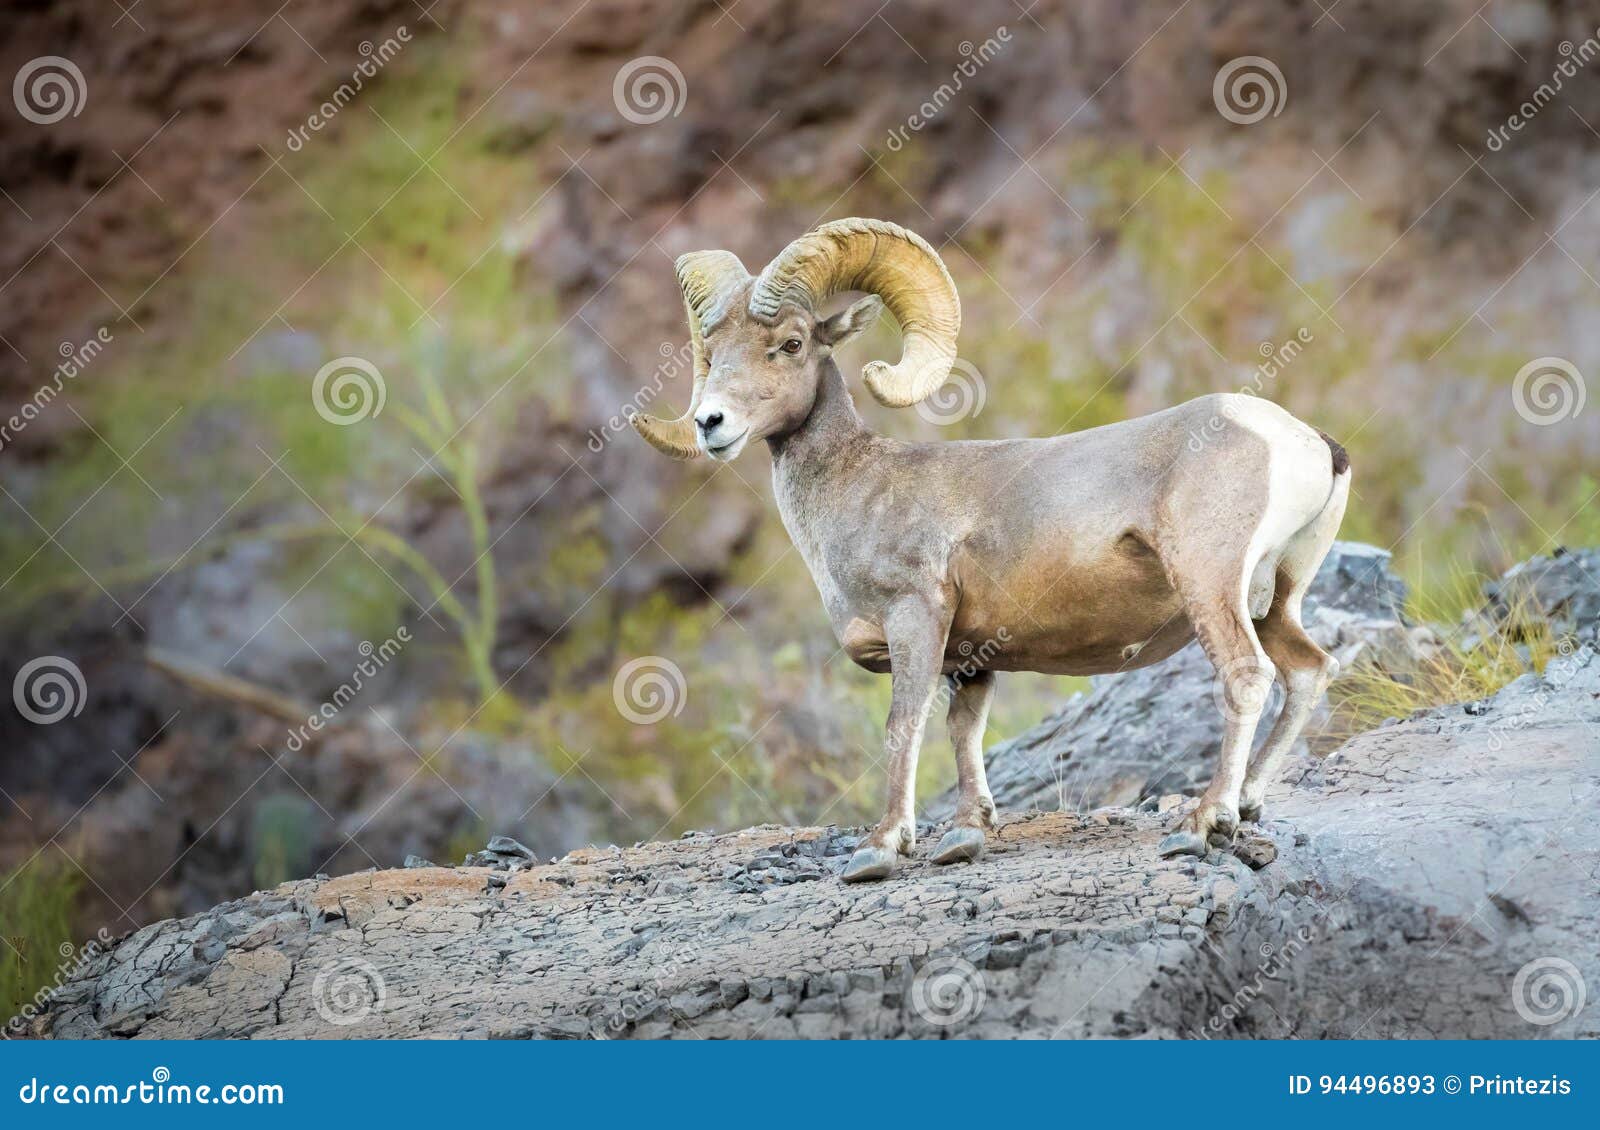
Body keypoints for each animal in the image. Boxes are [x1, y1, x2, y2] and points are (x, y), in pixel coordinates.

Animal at [631, 218, 1350, 883]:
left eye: (791, 343)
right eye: (712, 352)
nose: (711, 423)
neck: (859, 484)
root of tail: (1306, 443)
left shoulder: (916, 619)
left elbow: (904, 725)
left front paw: (880, 849)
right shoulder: (971, 659)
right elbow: (964, 730)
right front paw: (965, 836)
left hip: (1211, 585)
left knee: (1247, 676)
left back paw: (1203, 825)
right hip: (1274, 602)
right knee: (1308, 671)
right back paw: (1248, 805)